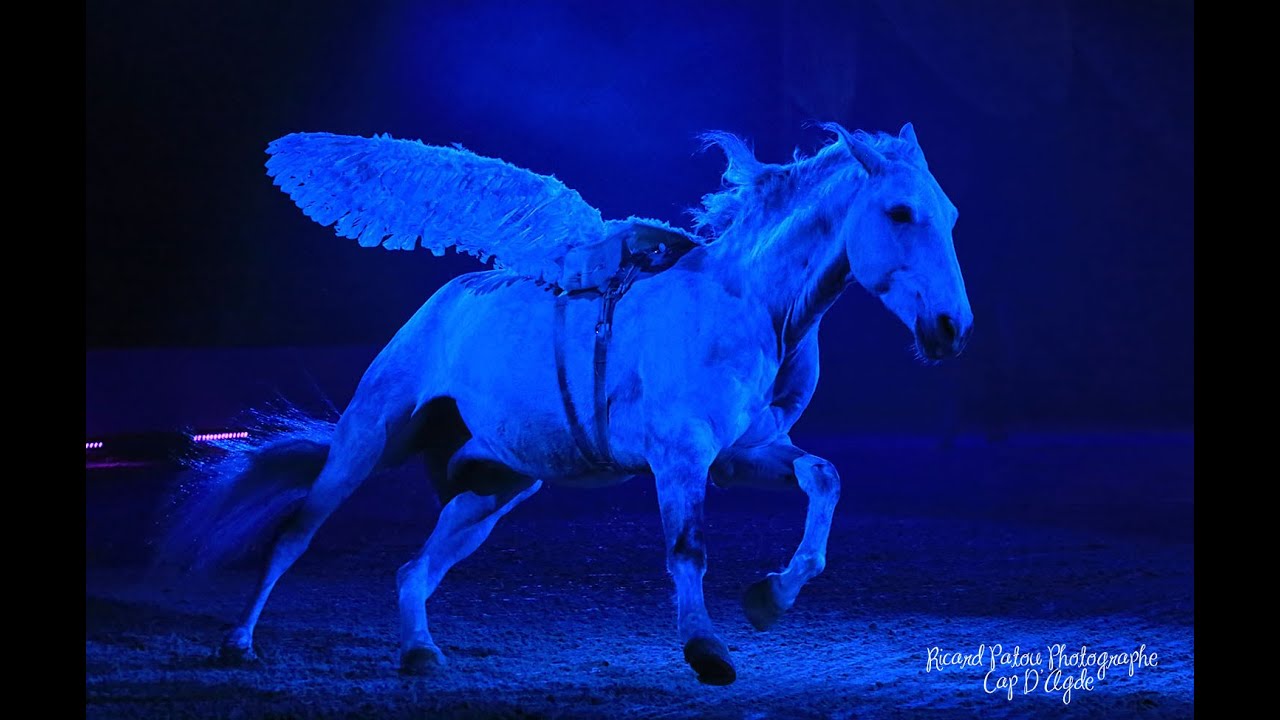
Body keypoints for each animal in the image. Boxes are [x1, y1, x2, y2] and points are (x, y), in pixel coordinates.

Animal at [177, 121, 972, 685]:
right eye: (900, 211)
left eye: (951, 214)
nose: (951, 327)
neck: (742, 304)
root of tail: (446, 299)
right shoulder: (680, 457)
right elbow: (687, 549)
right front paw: (707, 649)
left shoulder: (740, 456)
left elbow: (823, 477)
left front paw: (769, 599)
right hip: (367, 439)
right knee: (295, 533)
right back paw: (238, 642)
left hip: (493, 489)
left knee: (415, 569)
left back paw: (420, 653)